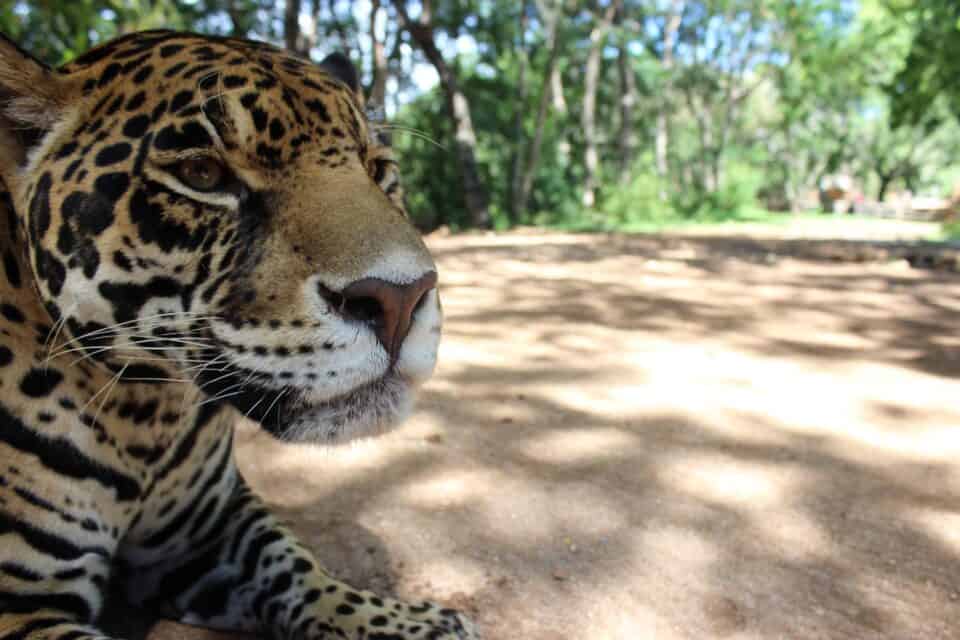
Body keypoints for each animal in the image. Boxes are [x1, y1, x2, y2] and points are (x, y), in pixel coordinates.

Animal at [0, 29, 478, 639]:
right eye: (203, 175)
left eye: (376, 169)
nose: (402, 299)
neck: (144, 417)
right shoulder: (22, 608)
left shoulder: (211, 528)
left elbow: (298, 566)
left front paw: (409, 622)